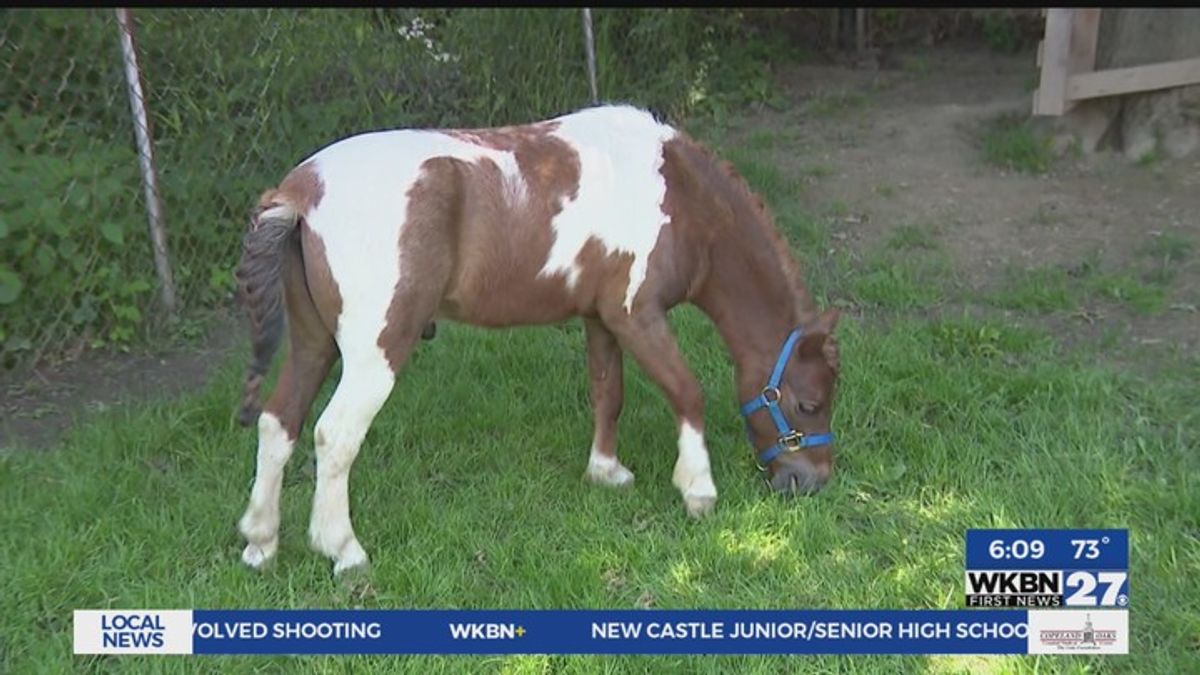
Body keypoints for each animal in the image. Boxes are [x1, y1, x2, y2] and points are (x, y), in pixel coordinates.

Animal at [233, 104, 841, 576]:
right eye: (809, 403)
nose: (810, 483)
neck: (678, 198)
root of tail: (302, 190)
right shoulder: (636, 316)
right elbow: (687, 392)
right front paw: (698, 489)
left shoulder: (601, 319)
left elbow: (608, 393)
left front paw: (606, 471)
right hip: (375, 351)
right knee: (334, 436)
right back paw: (344, 551)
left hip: (313, 344)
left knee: (278, 423)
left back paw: (260, 542)